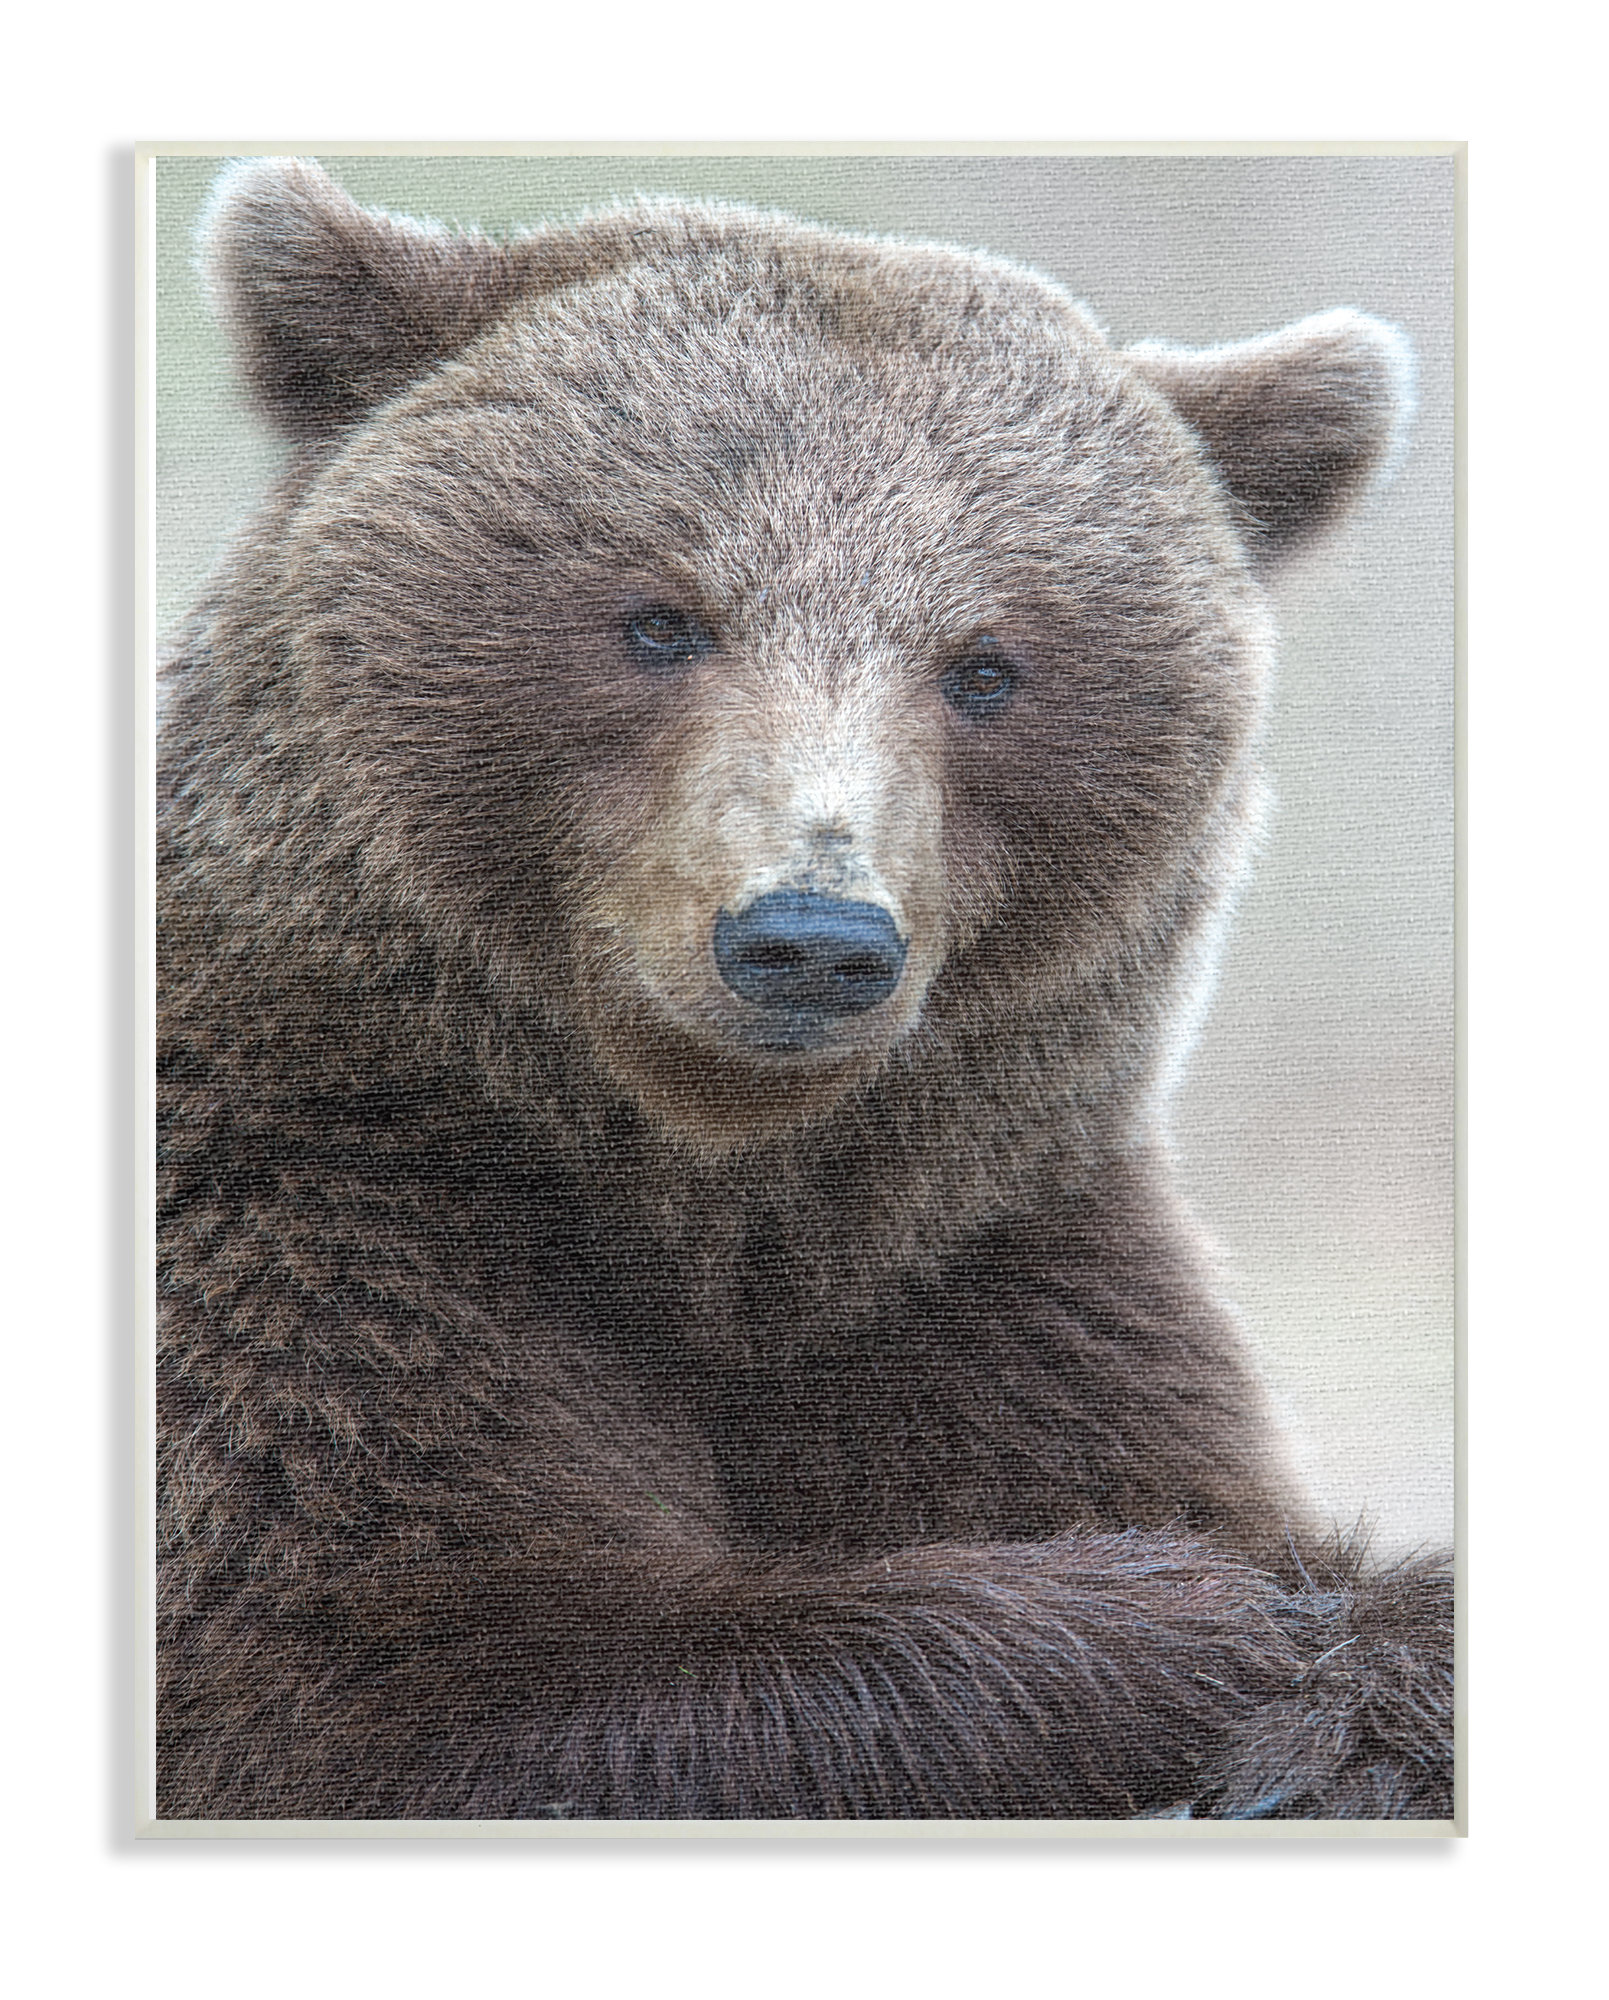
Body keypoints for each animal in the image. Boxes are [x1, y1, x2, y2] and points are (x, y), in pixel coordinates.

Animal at [156, 157, 1453, 1821]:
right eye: (659, 617)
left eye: (986, 665)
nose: (810, 937)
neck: (710, 1203)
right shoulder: (311, 1218)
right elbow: (389, 1681)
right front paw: (1210, 1632)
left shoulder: (972, 1274)